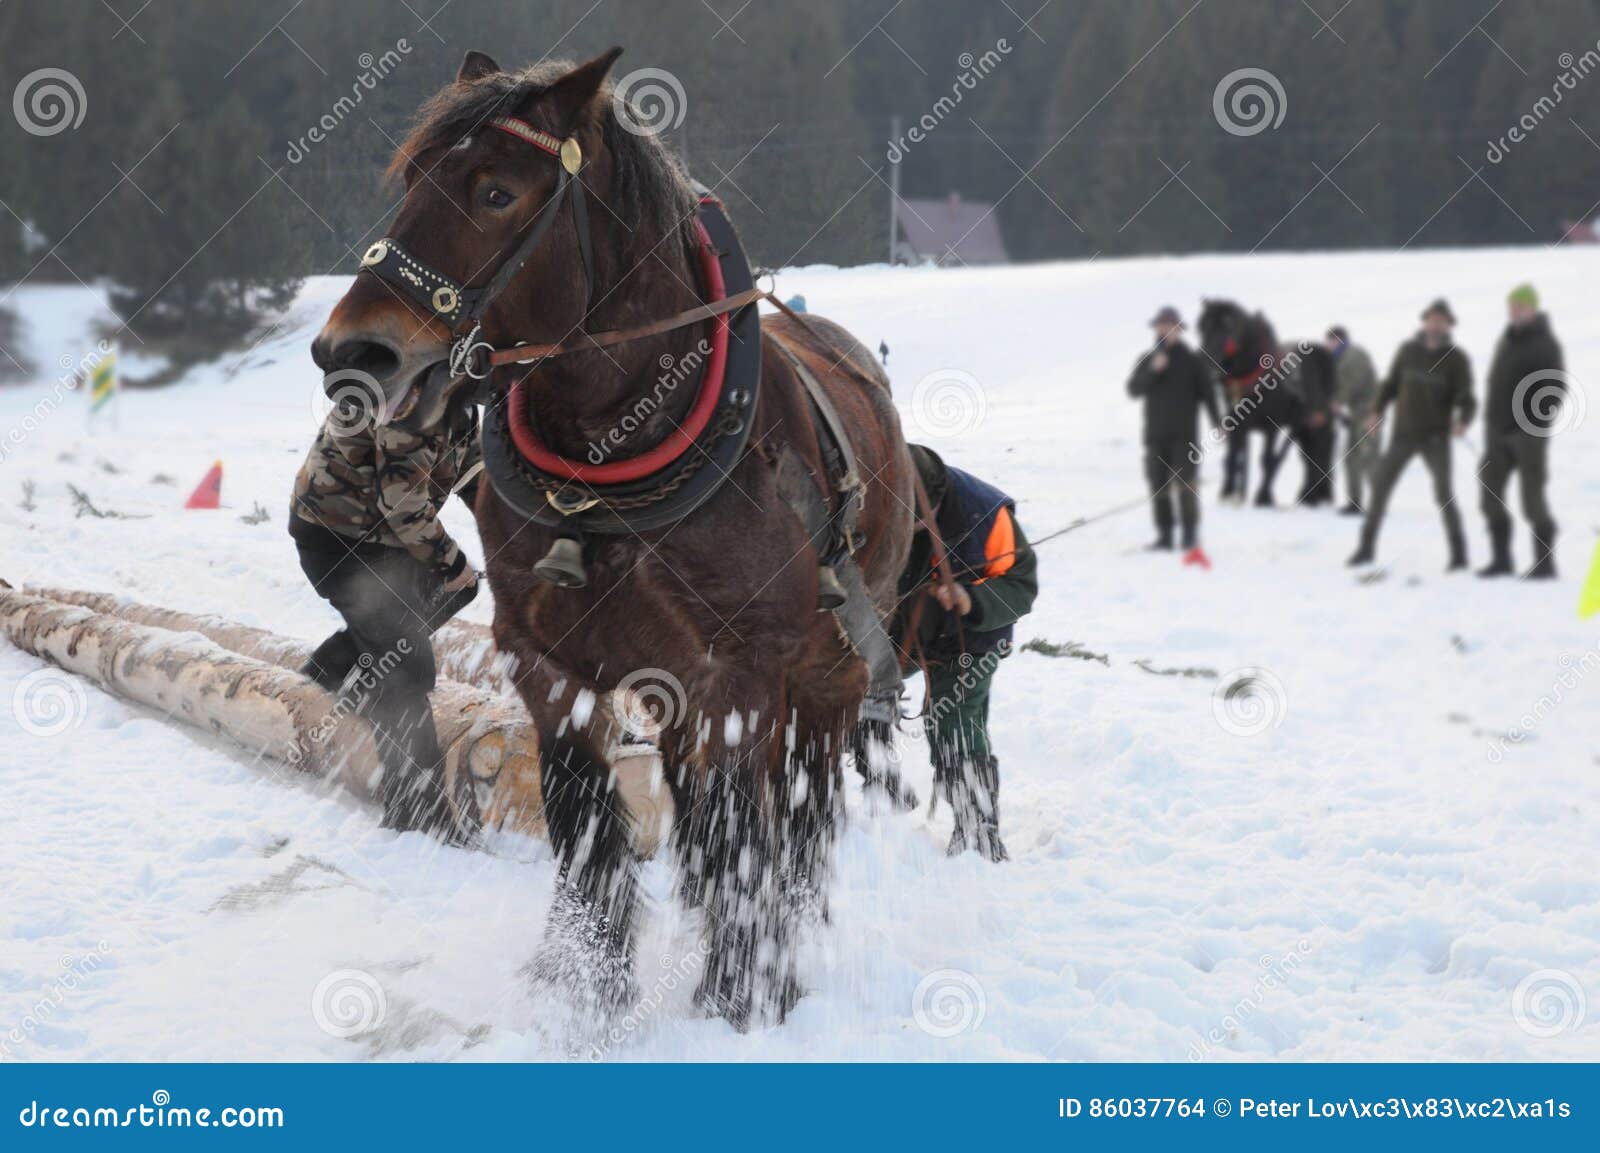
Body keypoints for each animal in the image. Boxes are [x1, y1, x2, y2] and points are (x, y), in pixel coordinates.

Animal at [311, 49, 915, 1031]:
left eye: (496, 191)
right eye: (411, 182)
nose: (351, 352)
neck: (617, 454)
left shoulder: (741, 671)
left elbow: (744, 832)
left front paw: (742, 996)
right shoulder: (548, 661)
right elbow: (583, 814)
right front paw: (588, 984)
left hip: (832, 671)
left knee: (801, 809)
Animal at [1196, 299, 1335, 507]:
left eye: (1227, 328)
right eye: (1202, 326)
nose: (1206, 362)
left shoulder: (1272, 426)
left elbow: (1267, 459)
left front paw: (1264, 497)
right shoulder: (1235, 422)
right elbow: (1233, 456)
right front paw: (1229, 492)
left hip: (1315, 424)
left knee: (1316, 453)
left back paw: (1311, 497)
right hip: (1304, 426)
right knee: (1307, 456)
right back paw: (1308, 495)